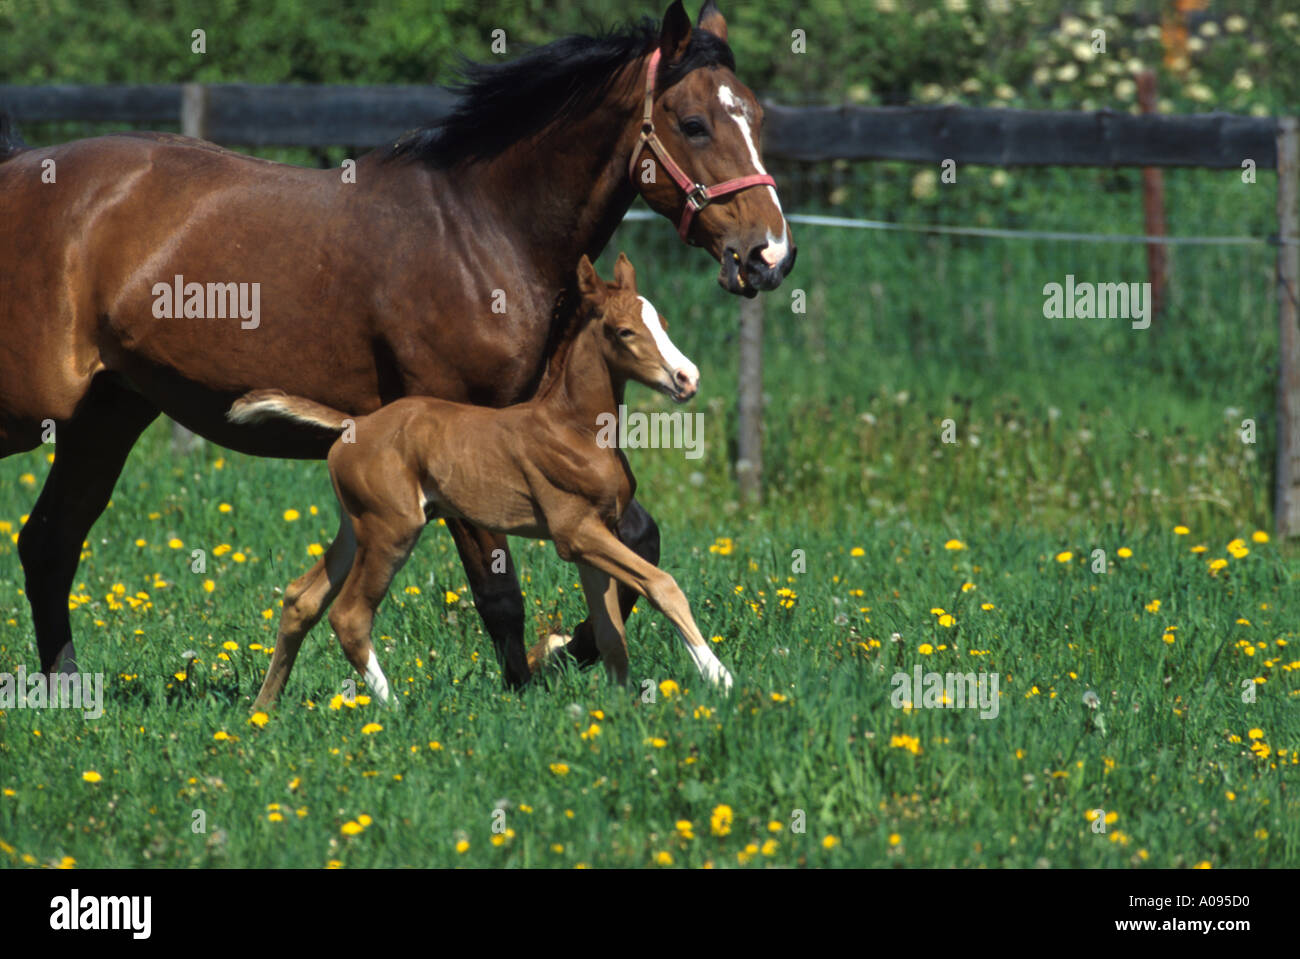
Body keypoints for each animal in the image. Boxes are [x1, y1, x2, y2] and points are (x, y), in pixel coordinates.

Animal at [229, 252, 732, 705]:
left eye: (662, 322)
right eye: (625, 331)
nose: (687, 378)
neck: (577, 430)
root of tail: (355, 425)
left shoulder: (594, 539)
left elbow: (612, 633)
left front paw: (622, 708)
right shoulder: (575, 533)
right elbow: (662, 586)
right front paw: (719, 677)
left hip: (358, 528)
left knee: (301, 598)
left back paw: (263, 709)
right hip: (393, 530)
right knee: (350, 615)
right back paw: (393, 710)